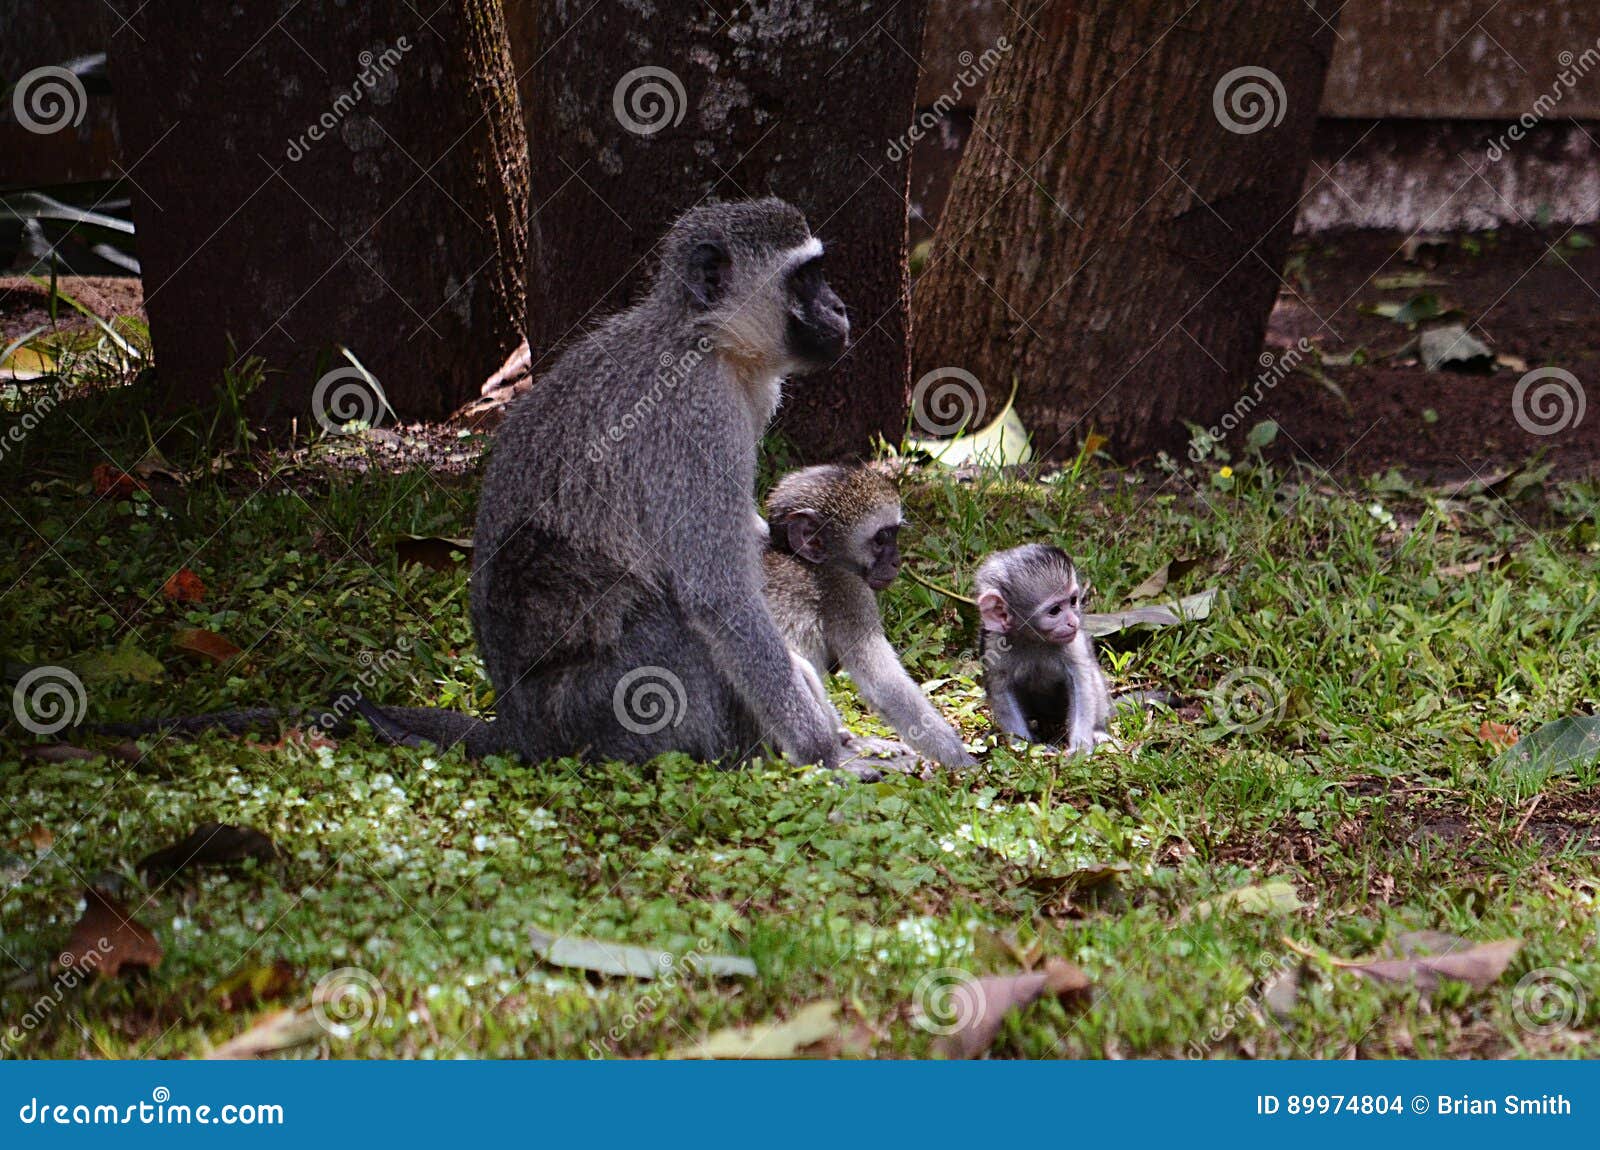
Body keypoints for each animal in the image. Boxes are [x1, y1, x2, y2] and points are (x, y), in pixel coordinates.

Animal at [762, 464, 977, 771]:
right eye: (881, 538)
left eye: (893, 534)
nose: (897, 562)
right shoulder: (848, 590)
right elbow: (884, 684)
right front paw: (962, 761)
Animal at [972, 544, 1113, 756]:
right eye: (1055, 611)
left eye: (1073, 601)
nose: (1073, 622)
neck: (1034, 640)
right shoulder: (994, 640)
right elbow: (1000, 689)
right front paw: (1026, 748)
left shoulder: (1073, 642)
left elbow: (1080, 682)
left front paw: (1079, 749)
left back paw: (1097, 731)